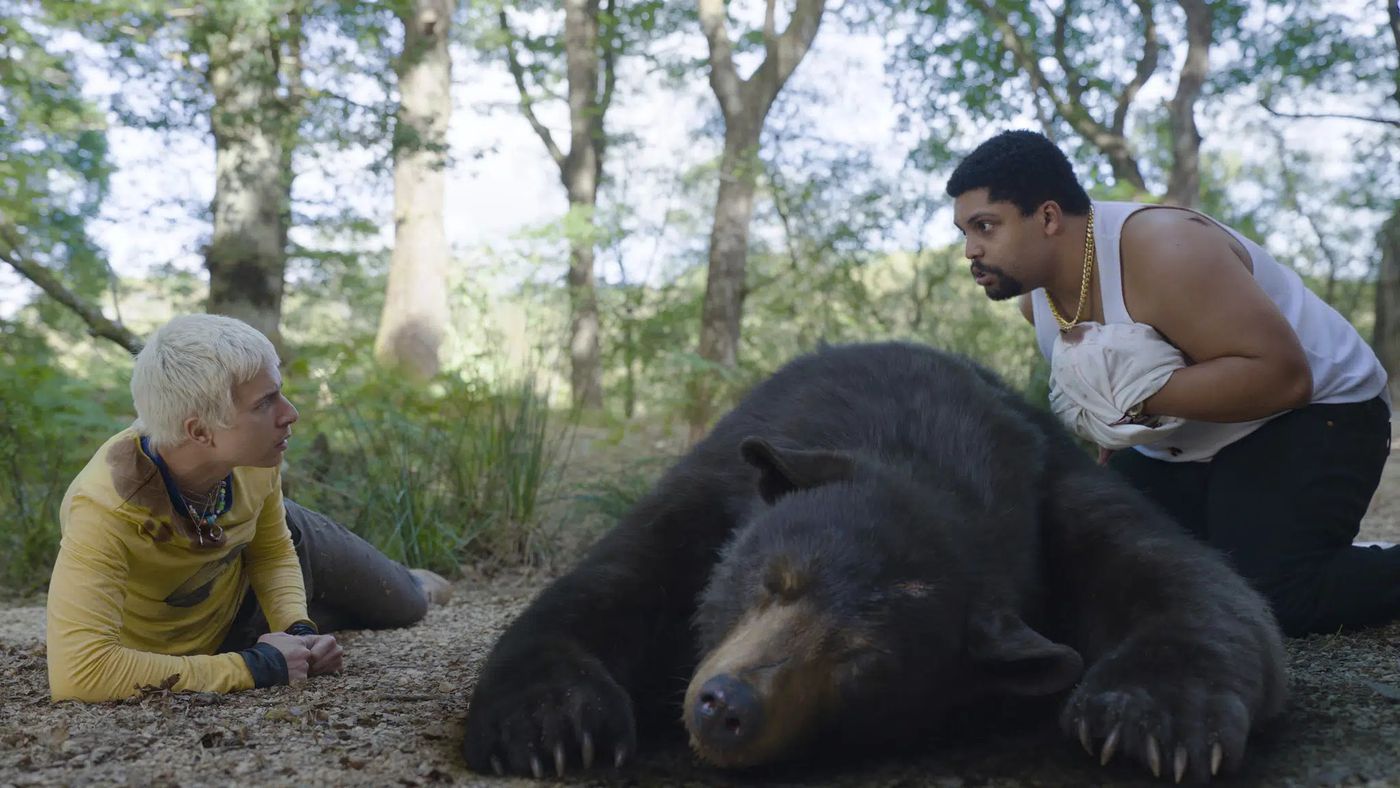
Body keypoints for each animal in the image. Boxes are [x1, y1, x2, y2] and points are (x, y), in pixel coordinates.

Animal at [462, 341, 1286, 782]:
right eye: (773, 583)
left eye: (862, 660)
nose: (727, 705)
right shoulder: (718, 481)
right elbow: (611, 583)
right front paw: (556, 723)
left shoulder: (1057, 486)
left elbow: (1194, 584)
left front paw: (1153, 720)